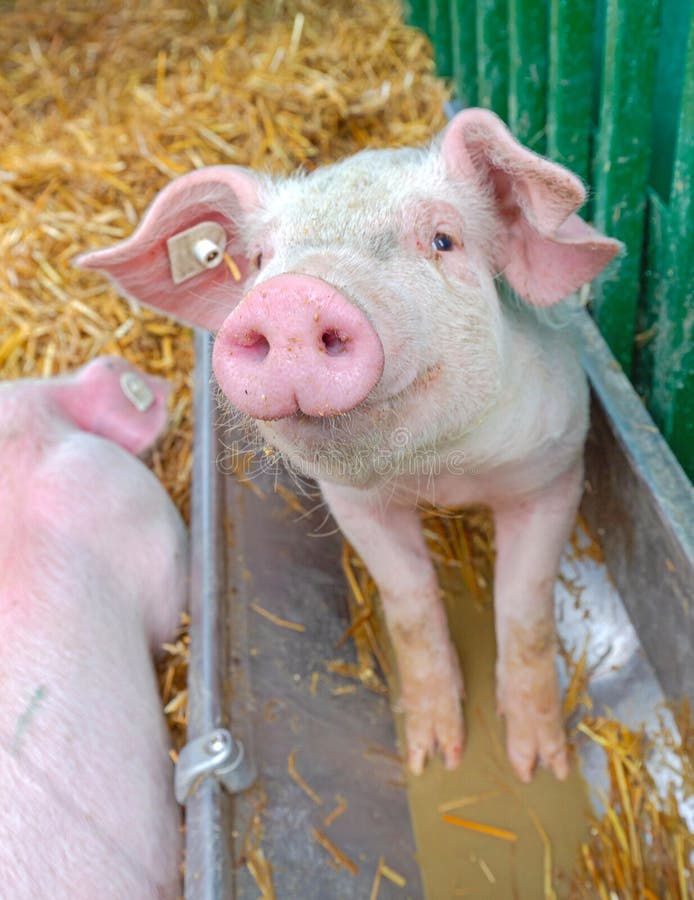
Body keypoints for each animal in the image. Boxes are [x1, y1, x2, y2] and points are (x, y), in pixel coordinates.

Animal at [77, 108, 621, 783]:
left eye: (444, 240)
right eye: (261, 258)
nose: (291, 297)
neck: (443, 472)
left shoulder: (555, 469)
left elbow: (526, 608)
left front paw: (540, 768)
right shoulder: (353, 502)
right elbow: (408, 600)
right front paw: (434, 757)